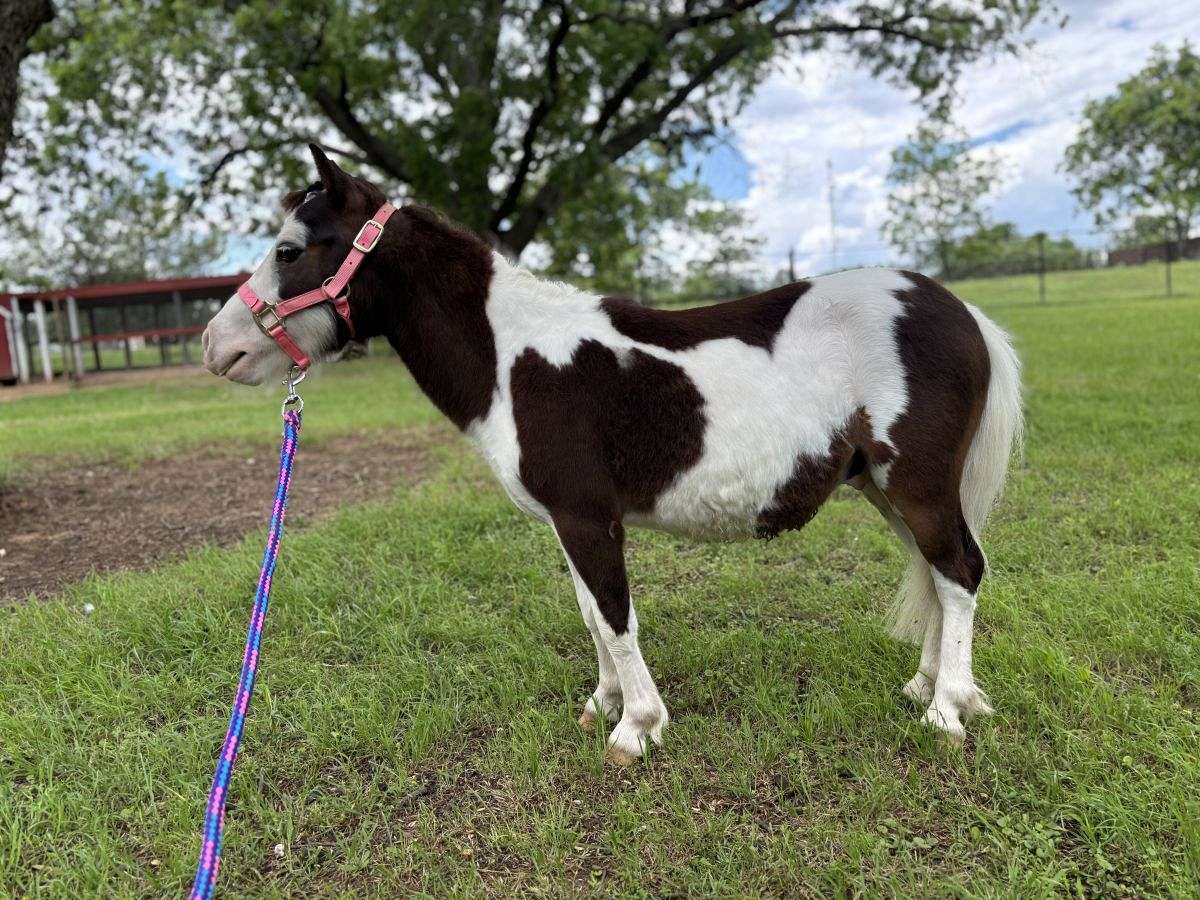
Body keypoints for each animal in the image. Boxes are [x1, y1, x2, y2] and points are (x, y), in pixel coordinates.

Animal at [202, 145, 1022, 764]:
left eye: (289, 249)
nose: (218, 346)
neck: (512, 356)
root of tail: (961, 310)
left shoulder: (588, 518)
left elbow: (616, 615)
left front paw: (637, 727)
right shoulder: (568, 522)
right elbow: (592, 615)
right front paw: (603, 703)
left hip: (916, 484)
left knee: (958, 572)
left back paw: (948, 709)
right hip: (887, 489)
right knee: (935, 571)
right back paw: (925, 686)